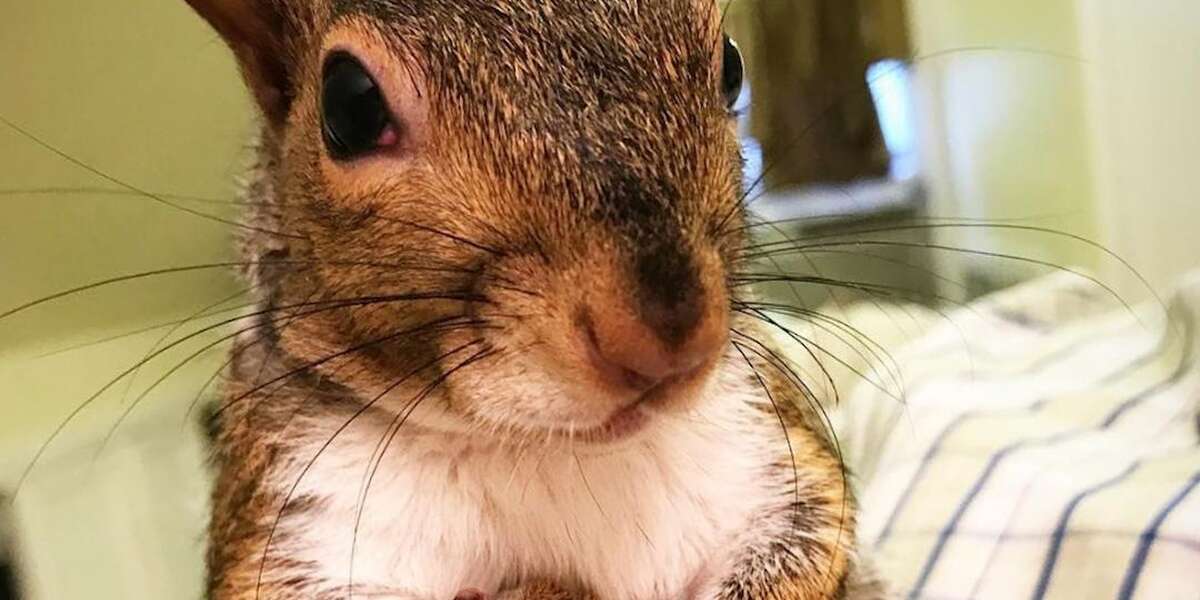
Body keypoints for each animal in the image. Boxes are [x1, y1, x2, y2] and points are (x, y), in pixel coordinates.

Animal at [184, 1, 886, 598]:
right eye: (350, 106)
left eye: (731, 67)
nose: (665, 337)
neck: (540, 445)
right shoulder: (292, 517)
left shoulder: (776, 463)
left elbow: (812, 534)